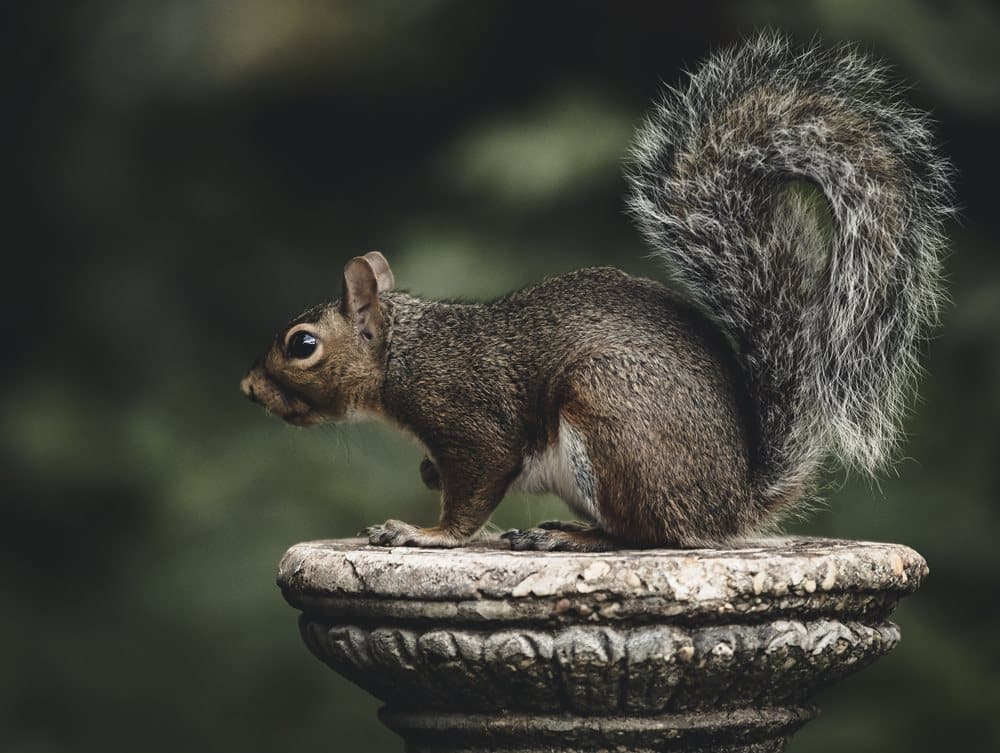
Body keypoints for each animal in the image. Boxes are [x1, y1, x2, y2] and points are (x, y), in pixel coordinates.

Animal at [240, 33, 952, 551]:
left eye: (301, 345)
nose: (248, 389)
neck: (405, 352)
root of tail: (729, 506)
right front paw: (425, 483)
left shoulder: (471, 418)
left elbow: (475, 491)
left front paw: (425, 533)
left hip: (610, 419)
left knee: (647, 536)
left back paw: (572, 537)